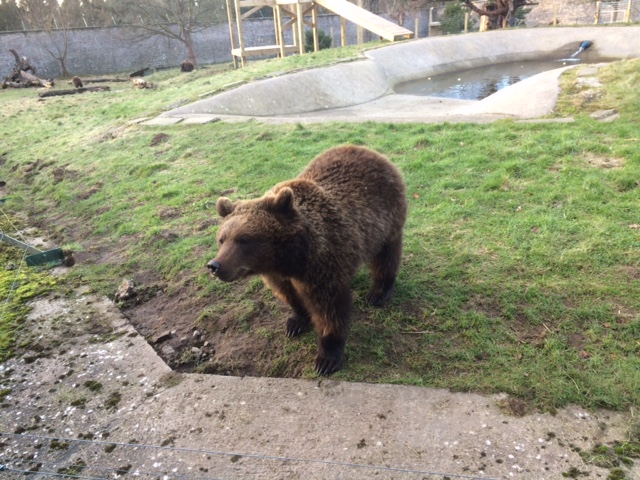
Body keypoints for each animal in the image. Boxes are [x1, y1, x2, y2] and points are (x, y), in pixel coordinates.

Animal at [207, 145, 407, 375]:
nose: (214, 265)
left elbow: (329, 309)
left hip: (386, 220)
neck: (289, 258)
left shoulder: (321, 266)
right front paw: (296, 322)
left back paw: (379, 292)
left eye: (244, 239)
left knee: (386, 256)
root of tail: (369, 151)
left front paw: (327, 358)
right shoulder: (279, 274)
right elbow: (291, 296)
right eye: (221, 239)